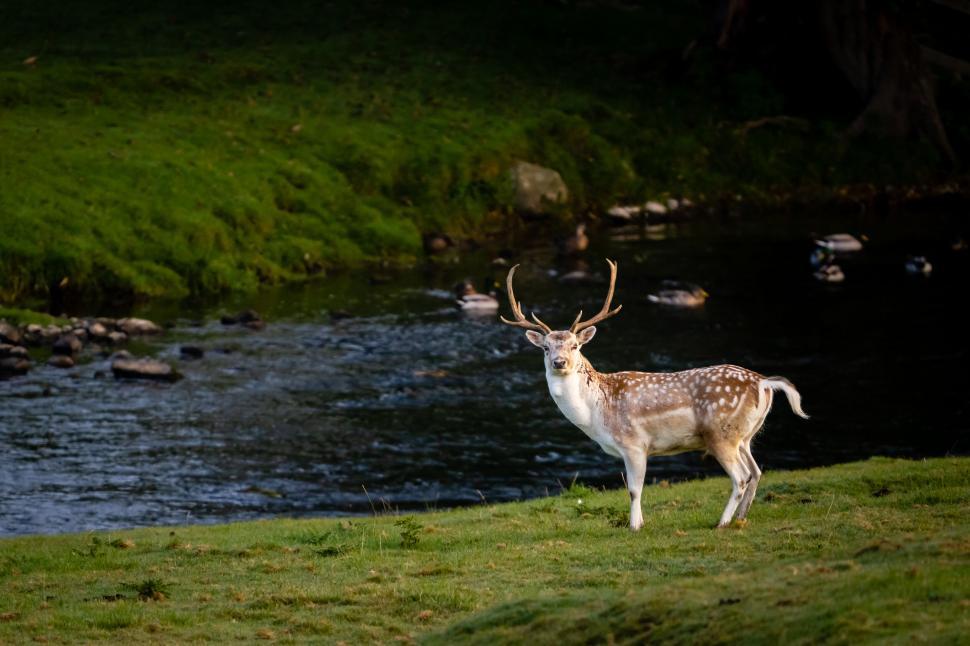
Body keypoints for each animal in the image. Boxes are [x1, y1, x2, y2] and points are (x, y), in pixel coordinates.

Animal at [500, 259, 808, 530]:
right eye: (545, 348)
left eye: (575, 345)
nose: (559, 362)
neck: (597, 414)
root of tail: (764, 383)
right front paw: (639, 523)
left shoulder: (634, 443)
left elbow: (634, 490)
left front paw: (635, 526)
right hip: (745, 435)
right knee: (756, 471)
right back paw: (741, 519)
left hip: (722, 433)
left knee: (741, 477)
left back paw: (721, 523)